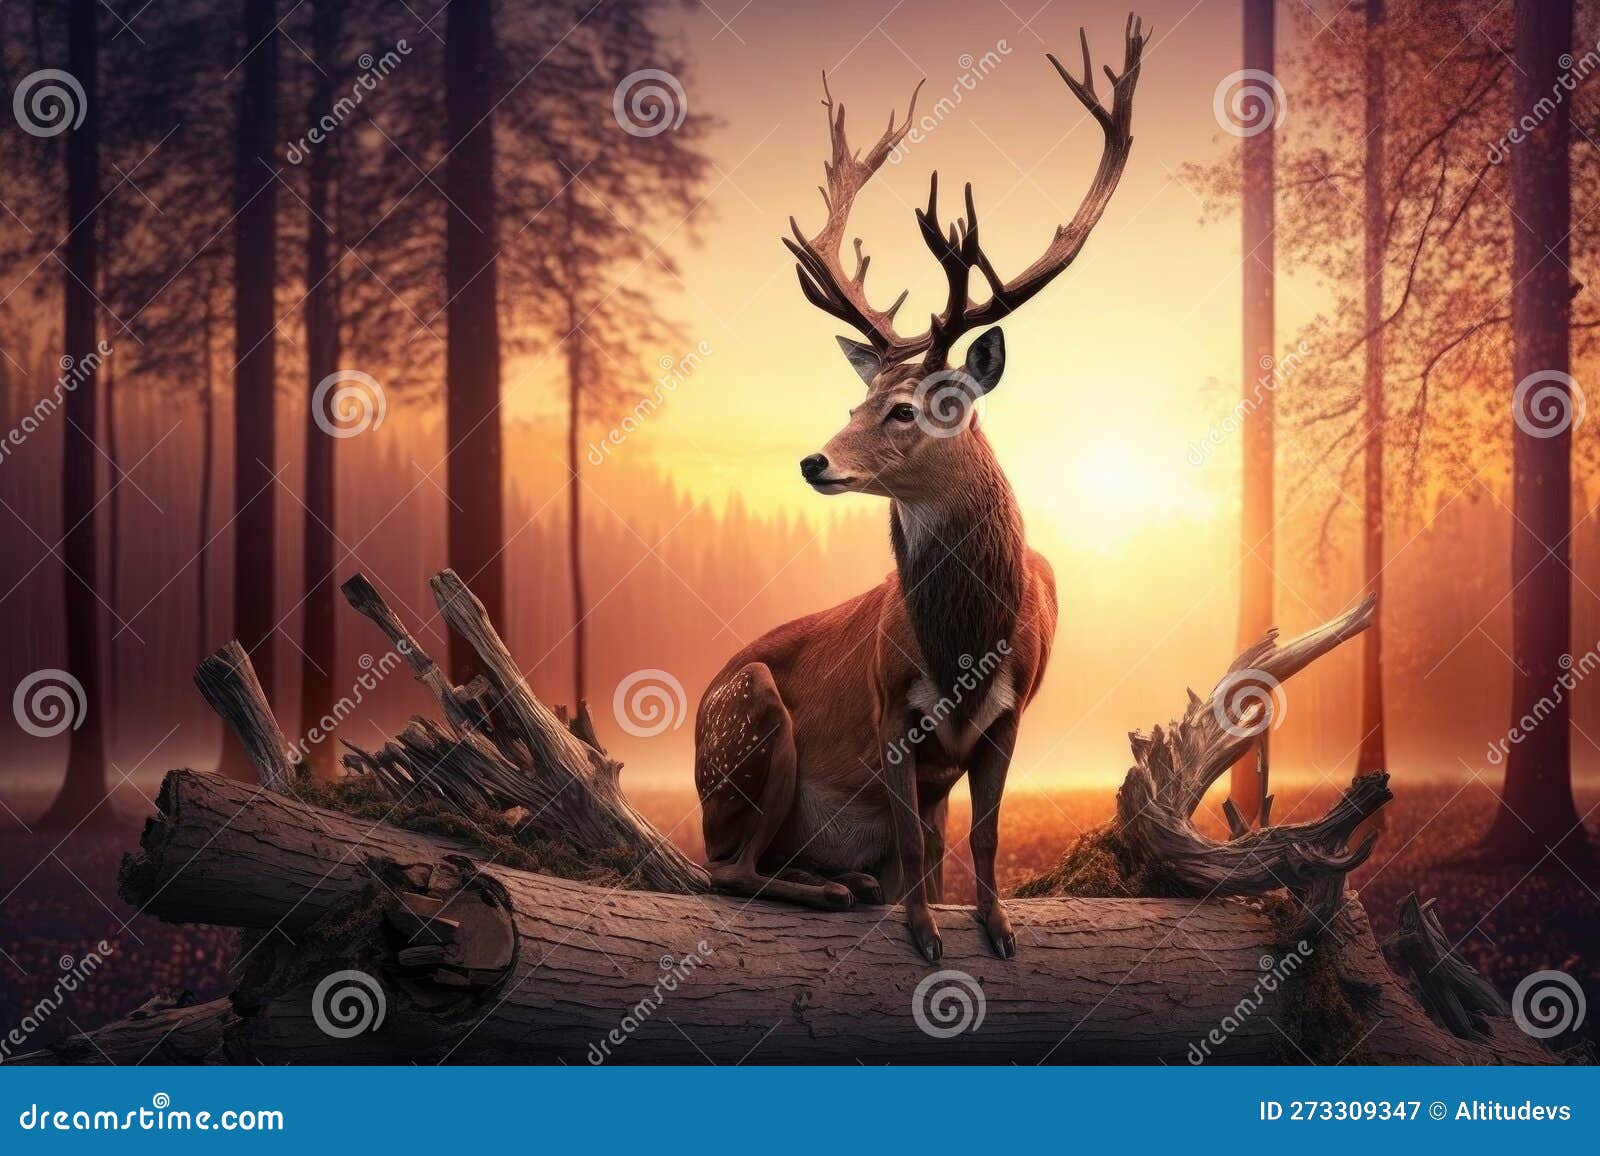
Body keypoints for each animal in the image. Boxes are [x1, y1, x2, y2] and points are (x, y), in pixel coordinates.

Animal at [694, 17, 1146, 962]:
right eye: (853, 403)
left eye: (907, 408)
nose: (814, 462)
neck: (965, 645)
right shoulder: (885, 703)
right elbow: (908, 832)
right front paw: (925, 936)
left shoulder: (1015, 711)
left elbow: (981, 835)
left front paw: (994, 926)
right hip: (747, 716)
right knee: (723, 866)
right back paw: (835, 887)